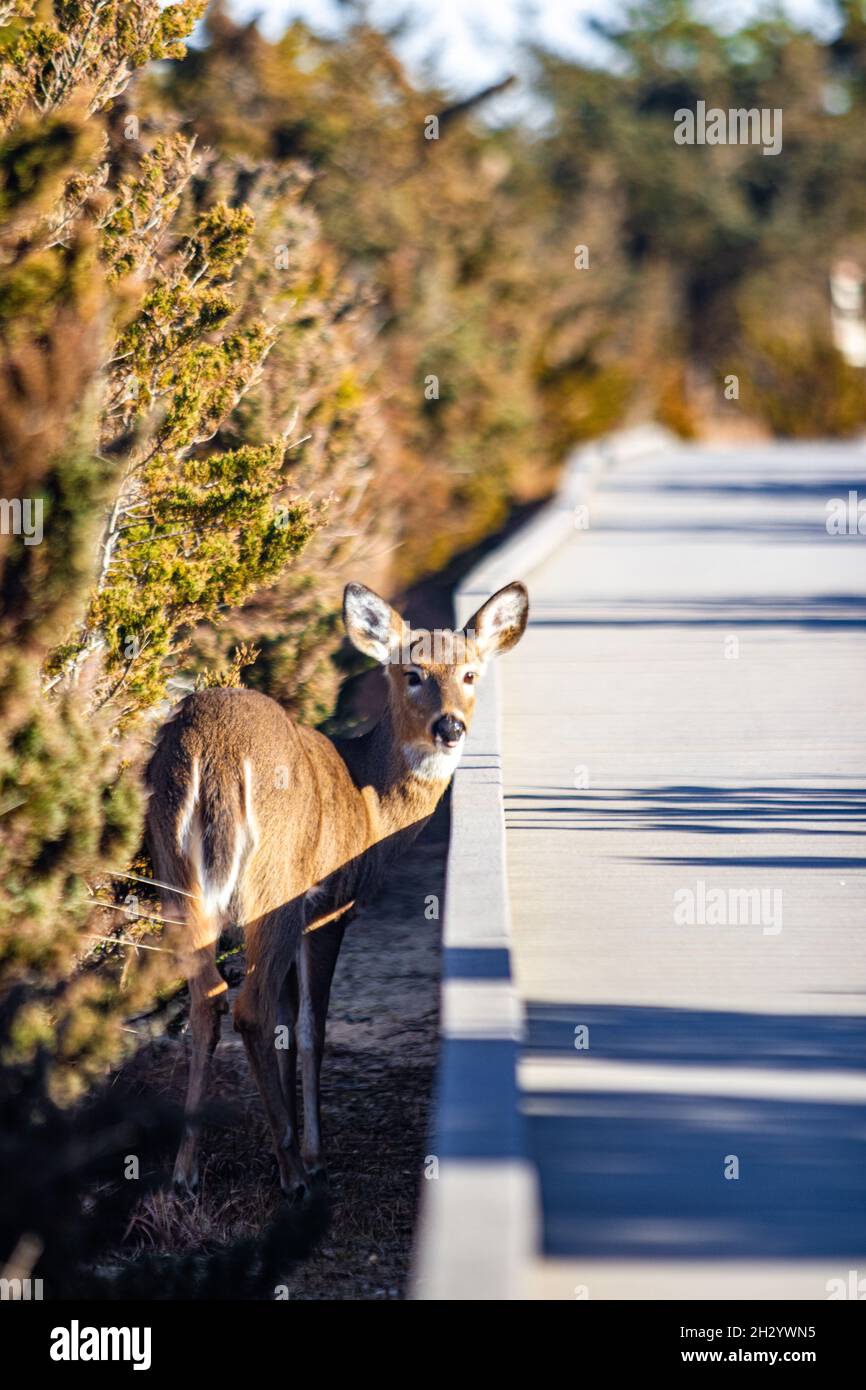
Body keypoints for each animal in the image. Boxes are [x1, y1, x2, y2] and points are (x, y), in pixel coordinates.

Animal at [145, 579, 529, 1201]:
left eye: (471, 672)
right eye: (412, 673)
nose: (450, 727)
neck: (369, 803)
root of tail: (214, 754)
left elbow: (285, 1027)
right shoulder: (327, 906)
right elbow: (307, 1028)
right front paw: (312, 1153)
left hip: (176, 880)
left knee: (207, 1003)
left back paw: (185, 1172)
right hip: (273, 884)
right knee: (247, 1009)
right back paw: (296, 1175)